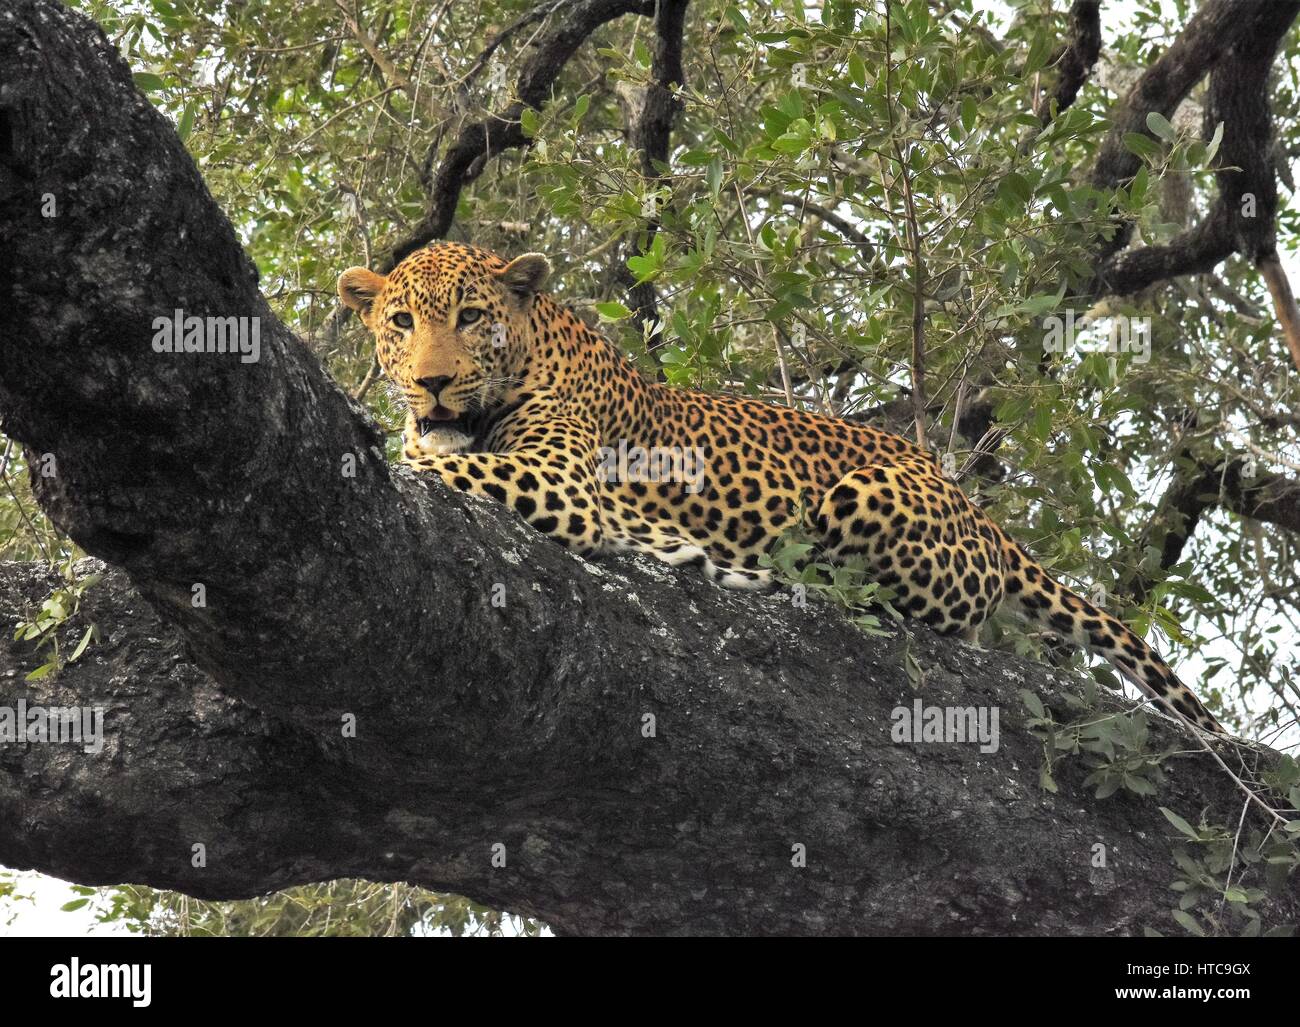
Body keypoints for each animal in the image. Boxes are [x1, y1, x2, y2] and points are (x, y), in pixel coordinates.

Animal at [338, 242, 1224, 734]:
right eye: (401, 324)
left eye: (471, 315)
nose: (433, 383)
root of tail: (975, 506)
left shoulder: (562, 480)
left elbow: (432, 465)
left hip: (867, 495)